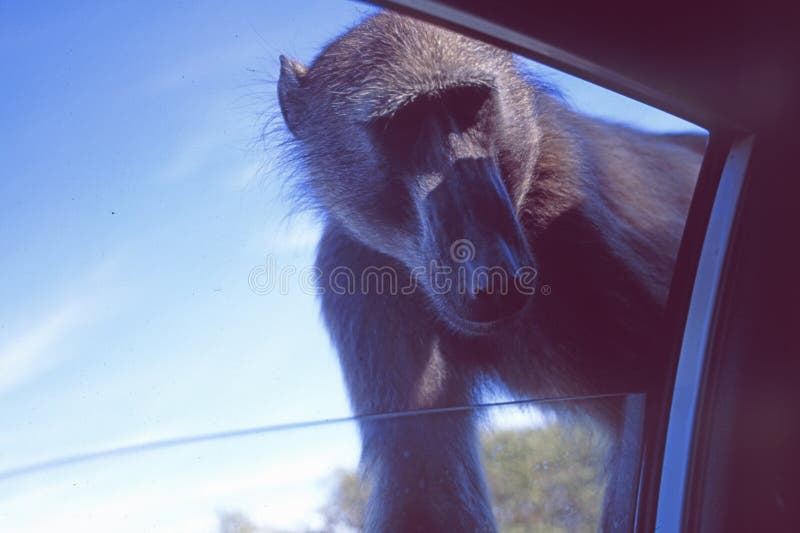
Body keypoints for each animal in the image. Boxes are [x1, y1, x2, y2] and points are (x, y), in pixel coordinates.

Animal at [276, 11, 703, 532]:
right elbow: (426, 484)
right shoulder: (356, 270)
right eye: (404, 123)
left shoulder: (568, 204)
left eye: (465, 105)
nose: (491, 272)